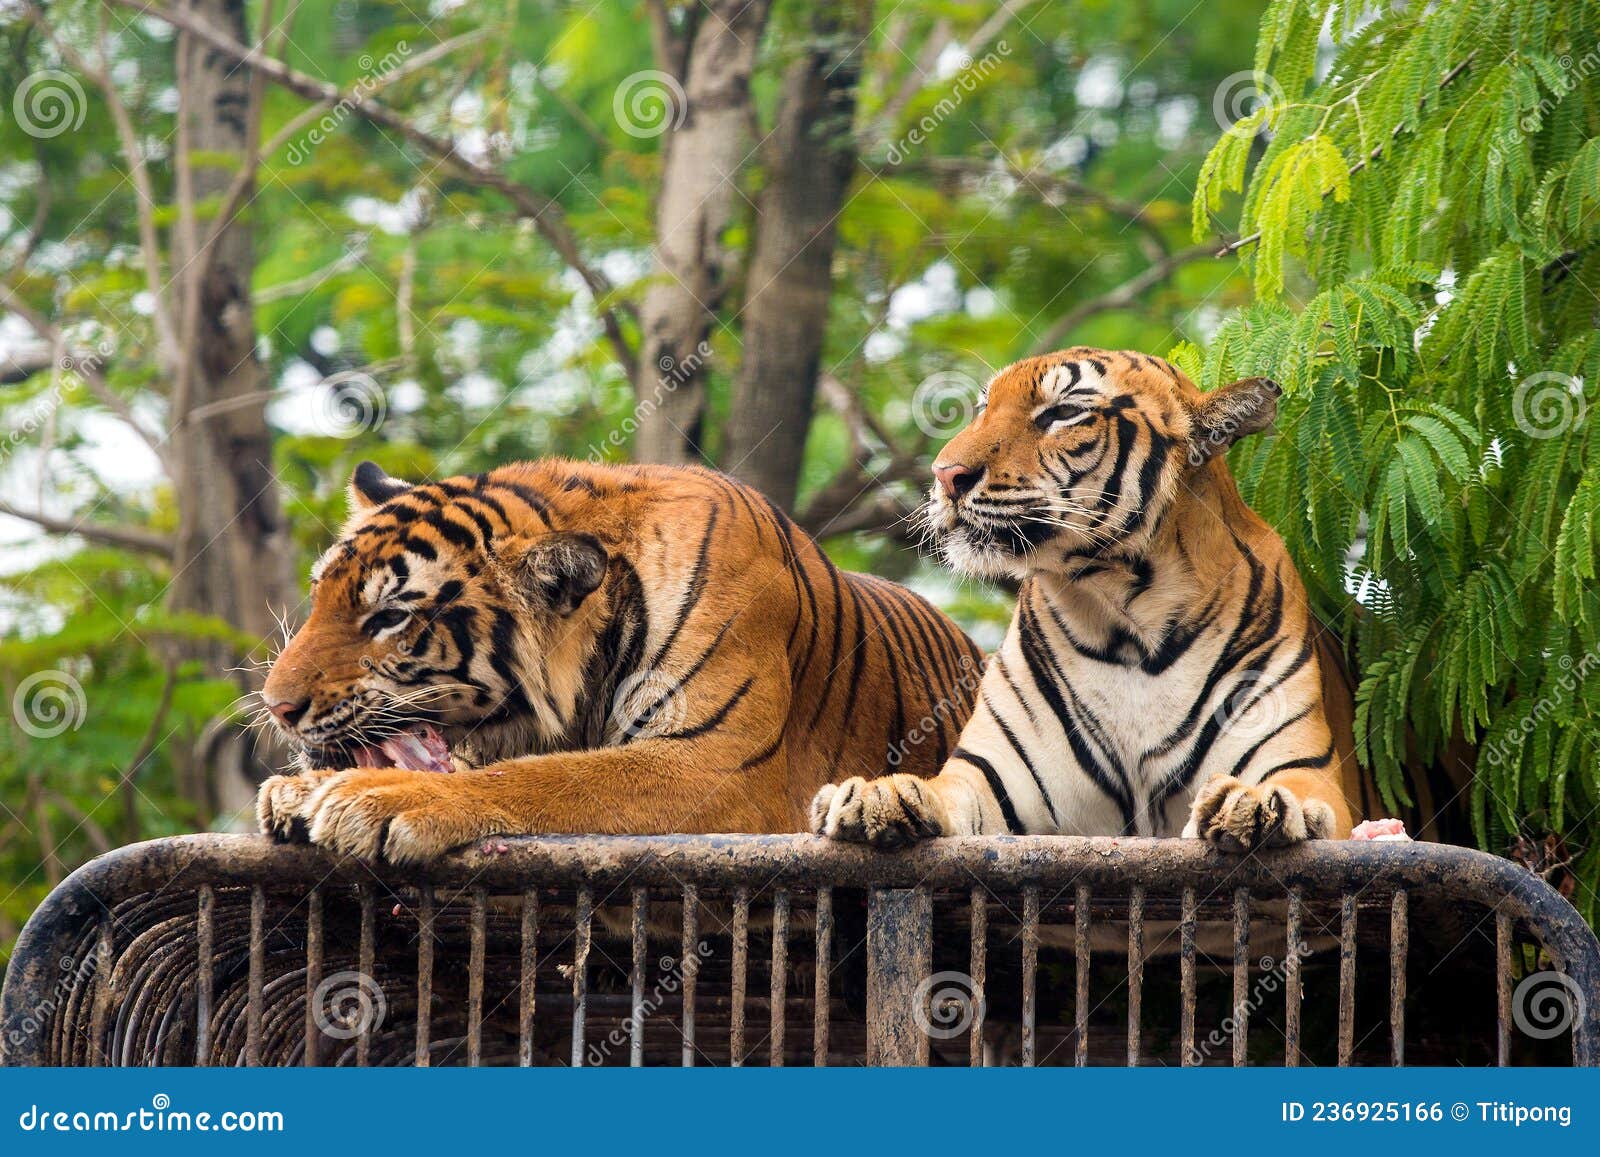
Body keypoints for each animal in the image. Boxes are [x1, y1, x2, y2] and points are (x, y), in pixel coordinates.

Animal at [256, 458, 984, 864]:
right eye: (319, 596)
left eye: (388, 617)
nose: (275, 706)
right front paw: (300, 791)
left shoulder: (719, 766)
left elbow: (541, 779)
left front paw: (376, 797)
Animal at [812, 347, 1365, 851]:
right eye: (983, 408)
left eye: (1061, 413)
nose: (945, 476)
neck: (1128, 616)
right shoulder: (991, 778)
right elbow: (944, 790)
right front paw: (873, 796)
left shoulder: (1301, 763)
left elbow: (1289, 788)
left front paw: (1251, 804)